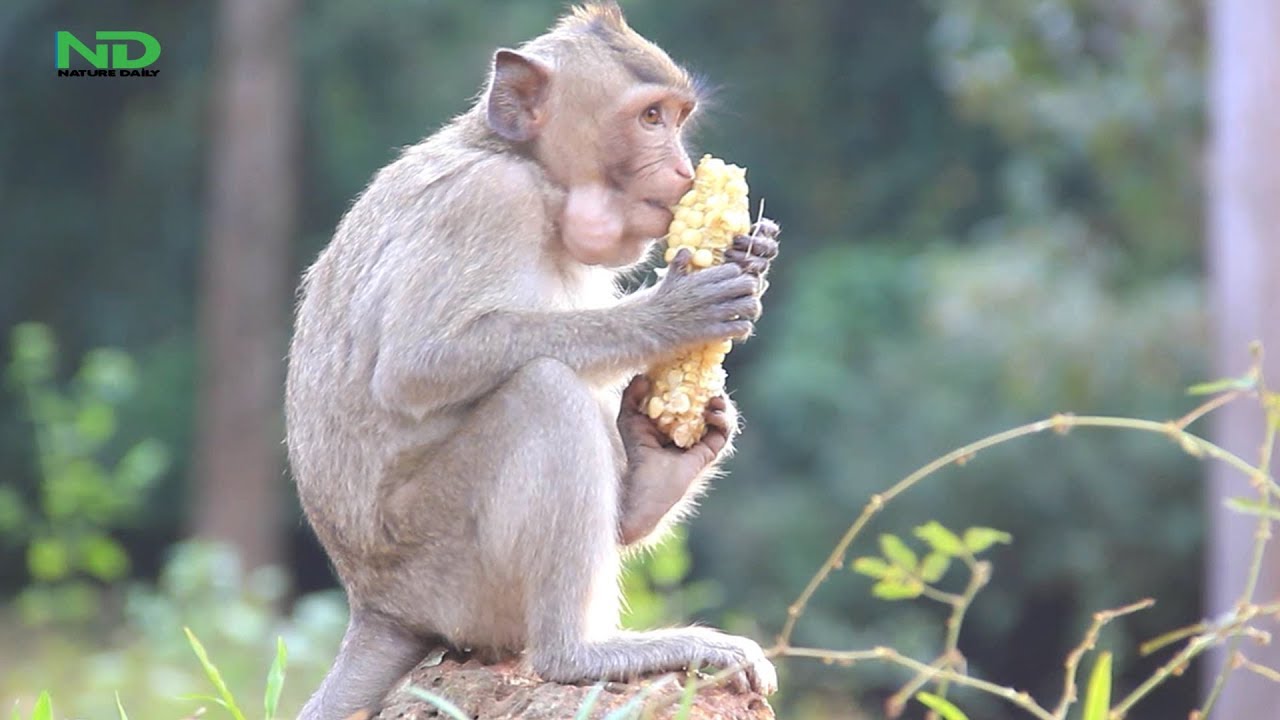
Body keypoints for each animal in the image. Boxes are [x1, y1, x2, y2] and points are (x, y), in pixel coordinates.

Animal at [285, 5, 782, 719]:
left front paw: (755, 253)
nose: (685, 170)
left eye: (677, 117)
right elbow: (417, 364)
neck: (535, 176)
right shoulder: (487, 200)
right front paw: (671, 316)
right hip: (445, 569)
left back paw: (655, 474)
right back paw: (580, 655)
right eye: (649, 118)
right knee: (542, 392)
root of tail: (375, 607)